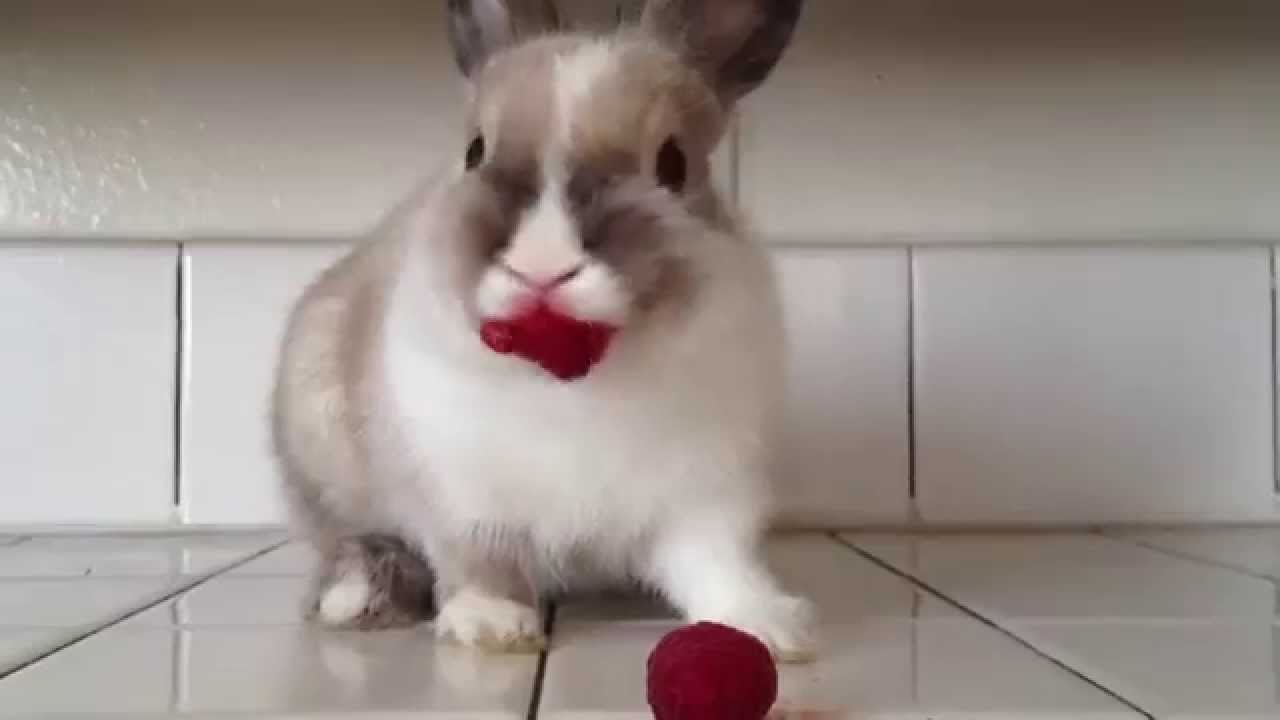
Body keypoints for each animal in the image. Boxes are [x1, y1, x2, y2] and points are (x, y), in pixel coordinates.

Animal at [270, 0, 814, 662]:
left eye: (673, 163)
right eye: (475, 151)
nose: (543, 265)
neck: (570, 372)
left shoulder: (706, 496)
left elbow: (718, 562)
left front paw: (768, 624)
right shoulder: (461, 495)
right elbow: (481, 560)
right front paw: (492, 625)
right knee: (352, 539)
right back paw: (357, 593)